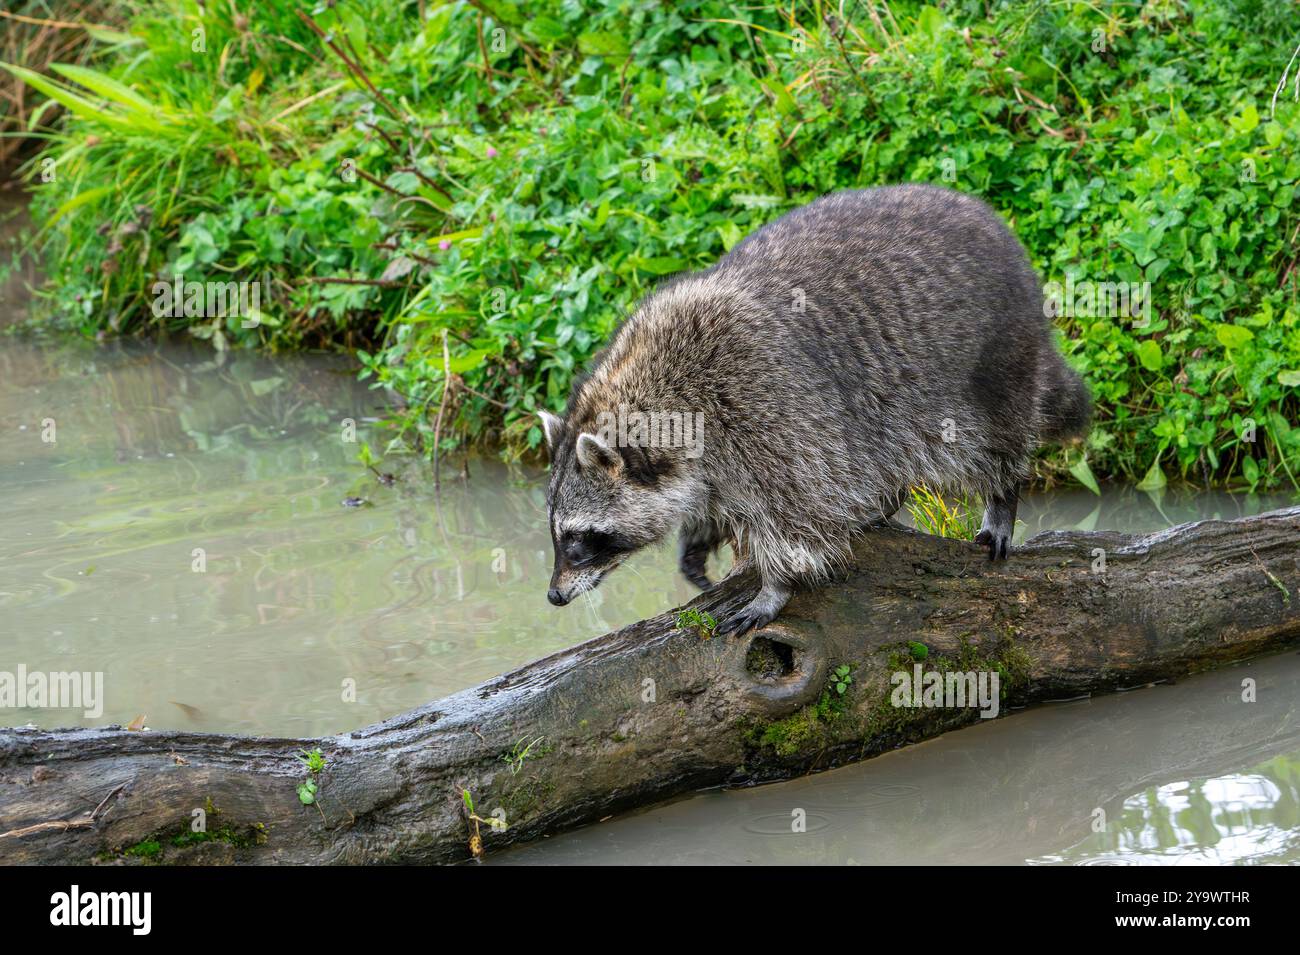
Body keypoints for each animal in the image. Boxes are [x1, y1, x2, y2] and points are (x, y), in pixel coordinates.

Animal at [540, 185, 1090, 636]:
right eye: (556, 534)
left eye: (580, 539)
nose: (553, 595)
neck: (660, 392)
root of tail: (986, 216)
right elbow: (720, 497)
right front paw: (701, 538)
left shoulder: (764, 402)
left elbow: (801, 511)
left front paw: (775, 584)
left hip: (986, 361)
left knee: (982, 439)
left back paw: (1001, 494)